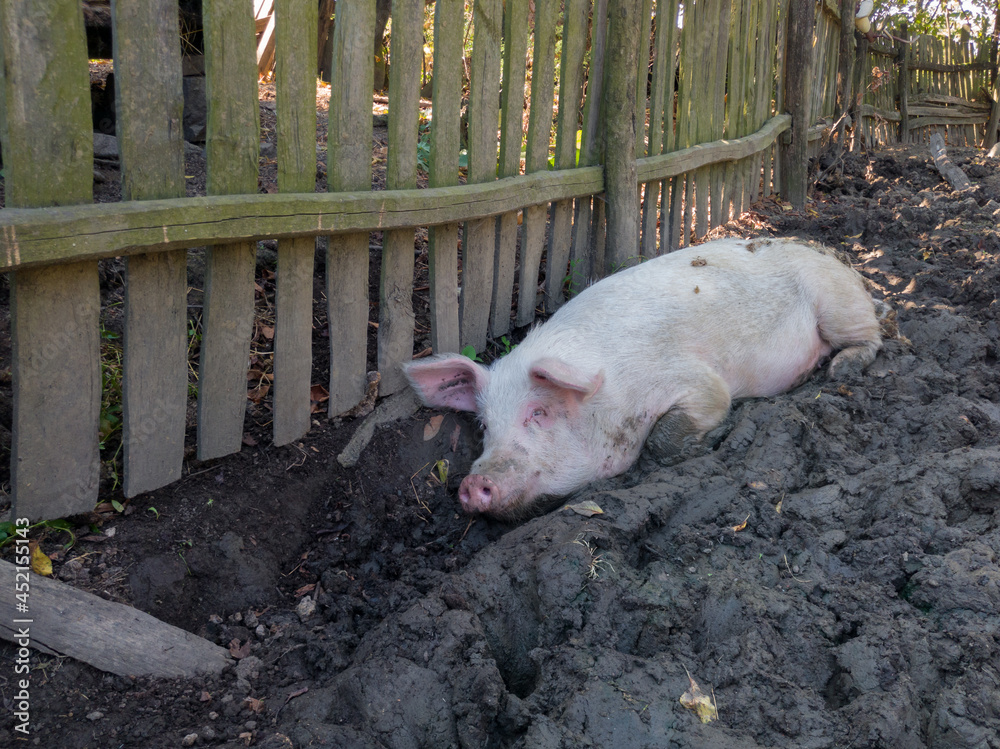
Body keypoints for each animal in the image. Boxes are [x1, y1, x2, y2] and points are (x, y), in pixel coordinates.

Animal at [403, 238, 882, 519]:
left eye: (538, 412)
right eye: (485, 425)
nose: (472, 482)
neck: (609, 390)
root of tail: (831, 253)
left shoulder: (698, 381)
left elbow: (671, 433)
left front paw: (708, 444)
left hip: (838, 305)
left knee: (875, 336)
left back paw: (835, 369)